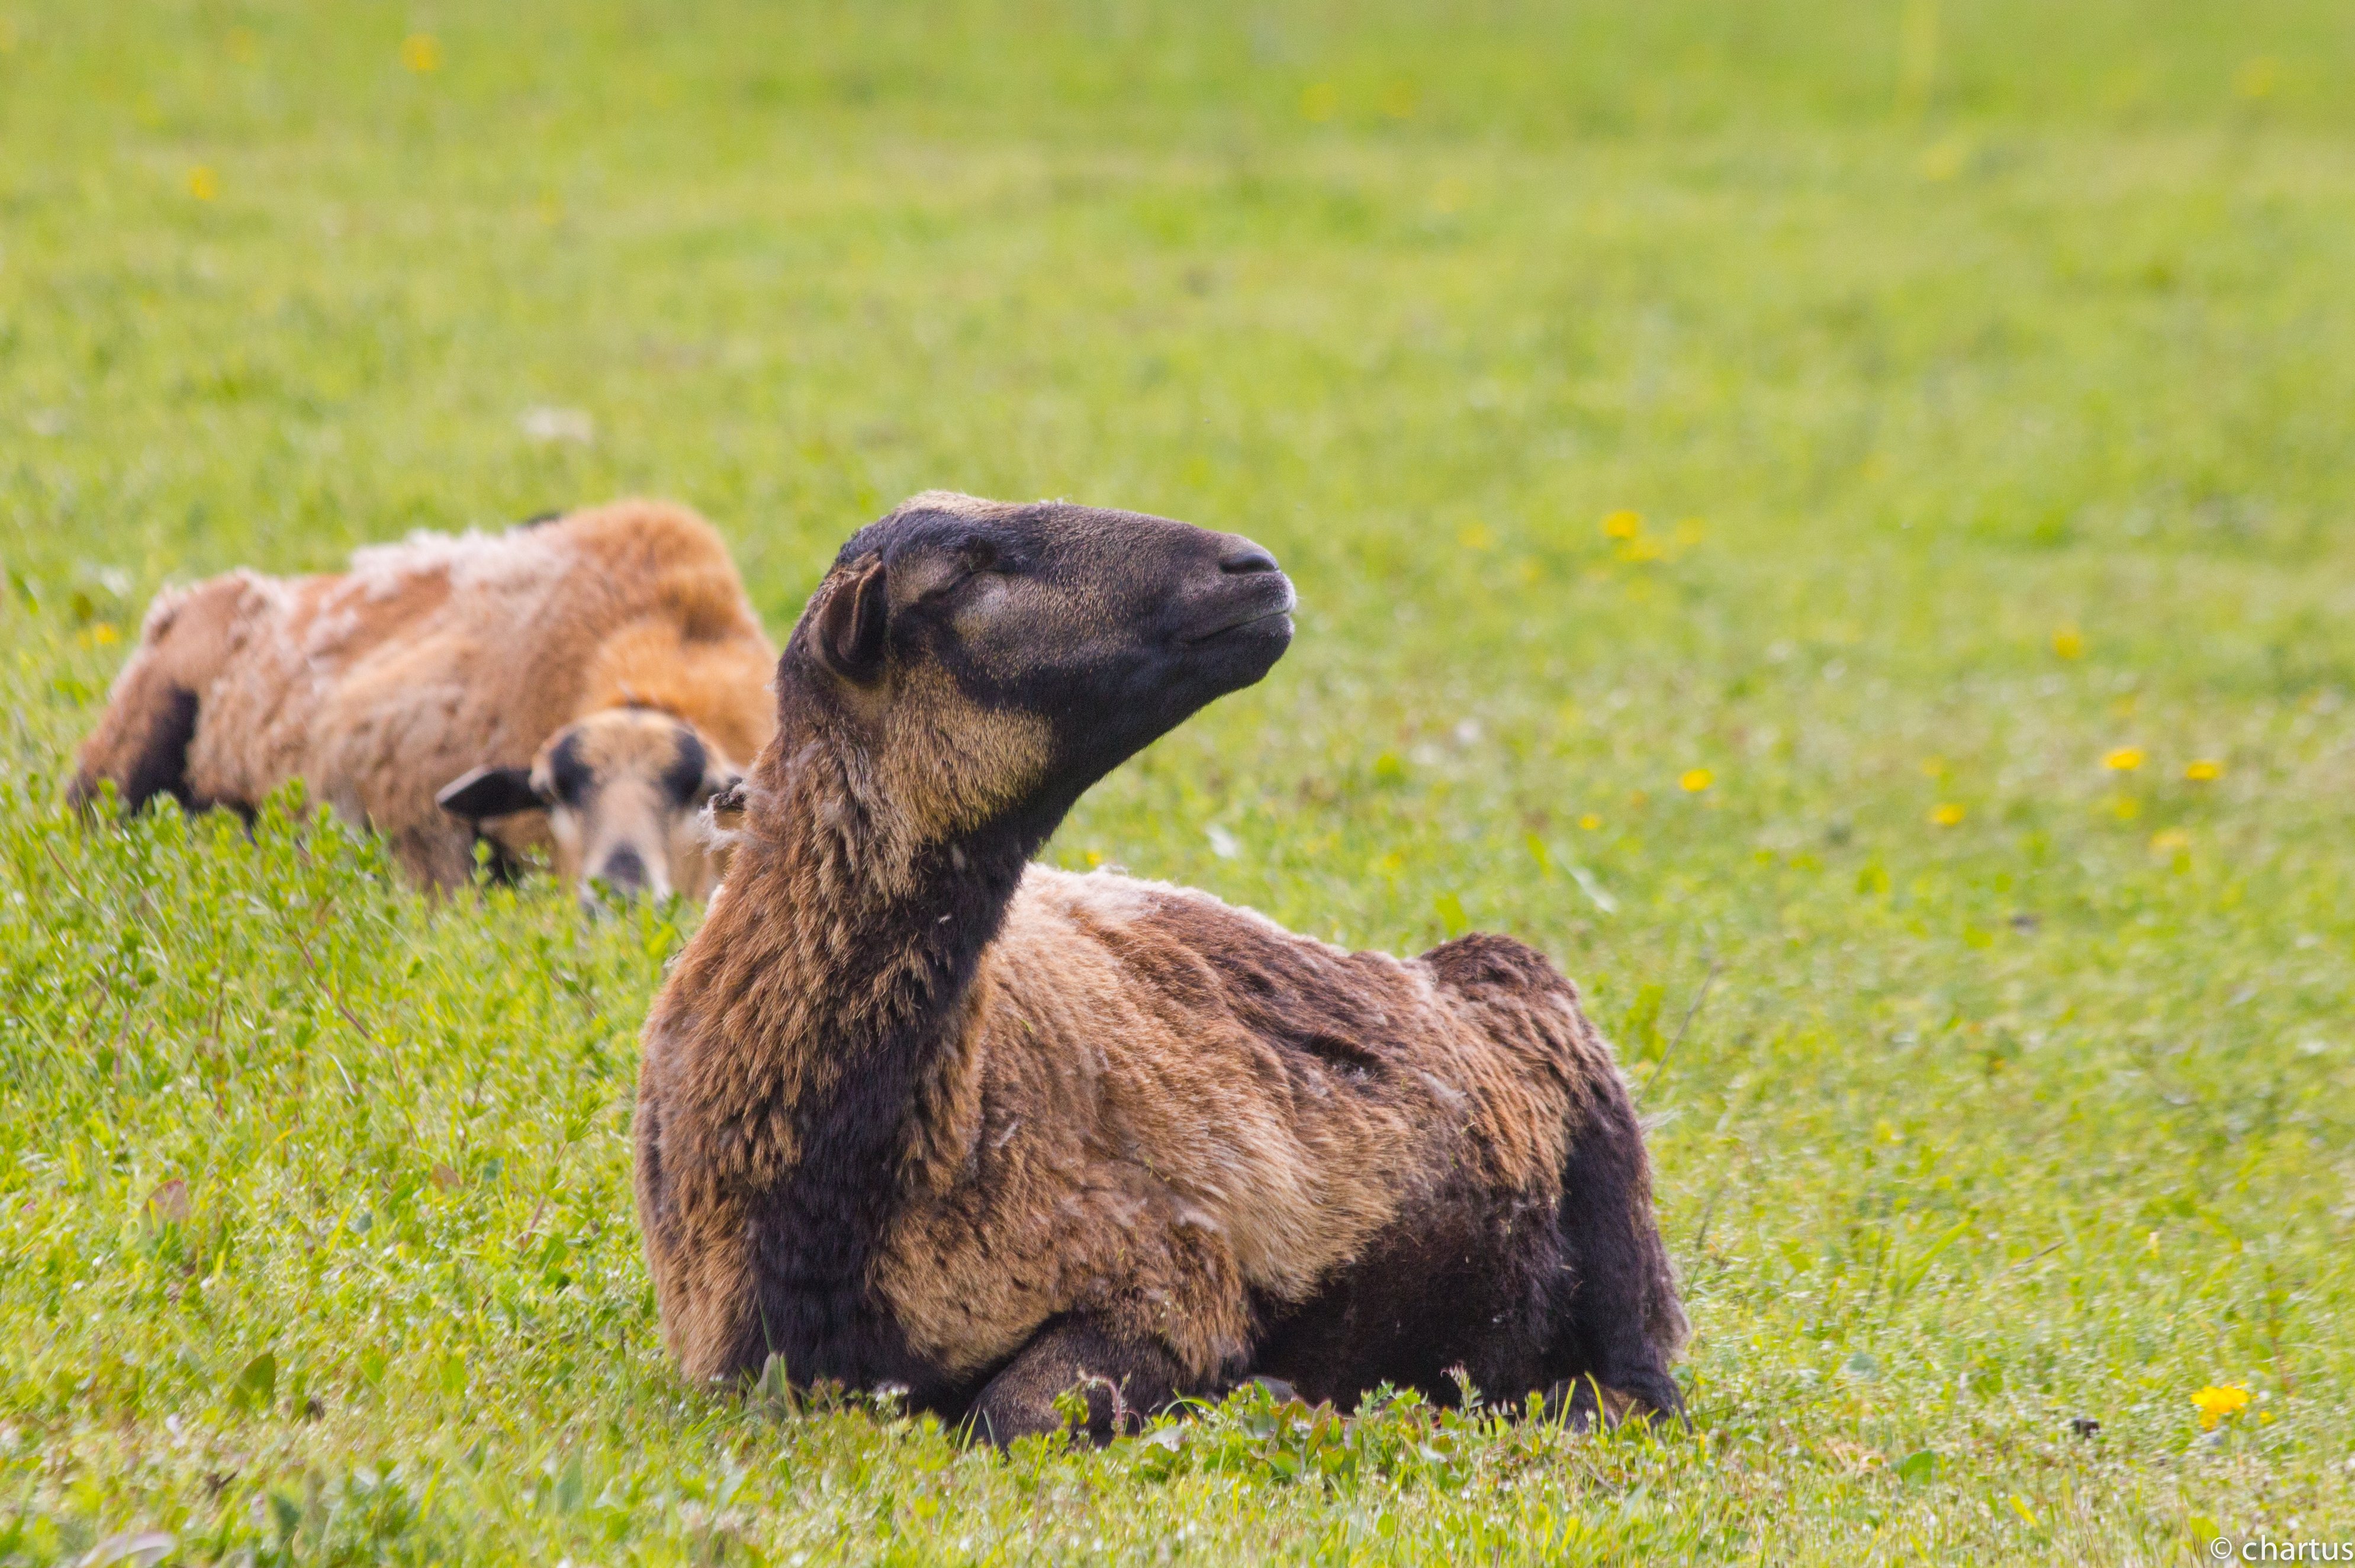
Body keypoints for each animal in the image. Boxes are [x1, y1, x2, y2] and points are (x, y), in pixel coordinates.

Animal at [633, 491, 1686, 1446]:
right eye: (969, 567)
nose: (1254, 569)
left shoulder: (1171, 1289)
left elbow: (1013, 1416)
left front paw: (1252, 1397)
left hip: (1604, 1180)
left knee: (1639, 1385)